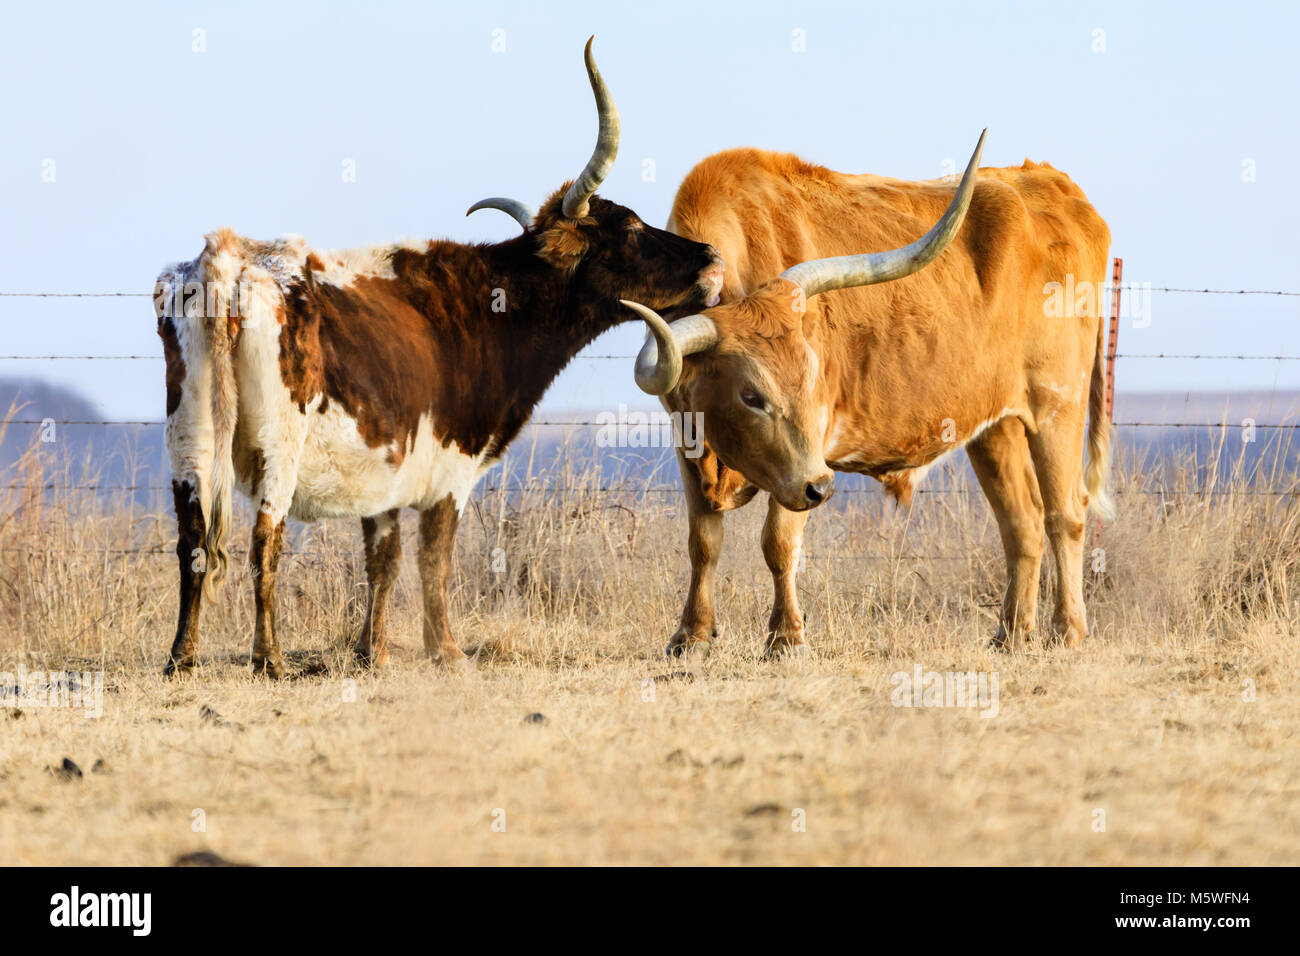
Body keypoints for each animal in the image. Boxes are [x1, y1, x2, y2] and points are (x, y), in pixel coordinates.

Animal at [154, 39, 725, 678]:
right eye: (627, 226)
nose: (711, 258)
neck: (486, 303)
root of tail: (226, 257)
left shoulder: (381, 470)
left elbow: (384, 559)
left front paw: (372, 653)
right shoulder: (450, 466)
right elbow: (434, 557)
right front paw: (446, 651)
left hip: (191, 438)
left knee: (193, 539)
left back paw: (182, 657)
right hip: (280, 442)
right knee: (263, 538)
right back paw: (269, 659)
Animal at [620, 131, 1114, 659]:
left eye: (812, 377)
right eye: (750, 396)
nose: (822, 487)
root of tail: (1057, 185)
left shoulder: (804, 459)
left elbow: (779, 542)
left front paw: (786, 636)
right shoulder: (688, 443)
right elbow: (703, 542)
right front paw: (690, 635)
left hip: (1057, 404)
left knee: (1065, 515)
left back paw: (1067, 630)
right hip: (995, 425)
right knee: (1022, 522)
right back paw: (1011, 633)